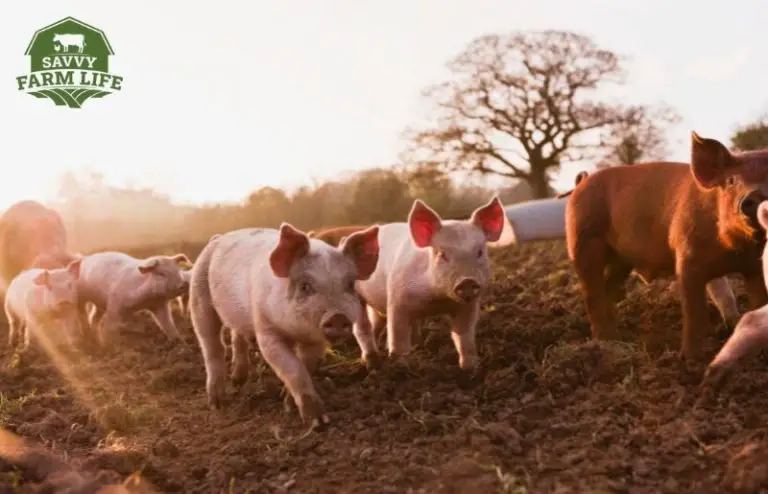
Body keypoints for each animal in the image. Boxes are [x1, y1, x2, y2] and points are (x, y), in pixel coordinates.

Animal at [190, 224, 379, 427]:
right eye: (304, 286)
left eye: (350, 285)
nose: (337, 316)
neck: (295, 332)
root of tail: (217, 239)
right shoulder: (266, 330)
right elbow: (293, 368)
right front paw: (318, 422)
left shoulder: (315, 341)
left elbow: (305, 366)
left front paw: (288, 404)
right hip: (199, 297)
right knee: (212, 346)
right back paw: (217, 403)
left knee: (237, 336)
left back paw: (238, 380)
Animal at [351, 196, 504, 370]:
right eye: (441, 254)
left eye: (480, 252)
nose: (467, 281)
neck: (437, 300)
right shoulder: (397, 301)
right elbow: (399, 338)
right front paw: (401, 366)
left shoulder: (468, 307)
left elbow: (464, 338)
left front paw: (470, 369)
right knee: (363, 328)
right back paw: (370, 362)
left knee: (378, 323)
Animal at [565, 132, 768, 361]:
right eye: (732, 181)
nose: (754, 196)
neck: (733, 249)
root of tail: (582, 182)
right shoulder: (687, 257)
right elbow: (694, 312)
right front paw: (690, 359)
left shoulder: (754, 266)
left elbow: (757, 301)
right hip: (583, 241)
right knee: (592, 293)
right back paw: (606, 342)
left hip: (621, 260)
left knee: (608, 289)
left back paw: (619, 337)